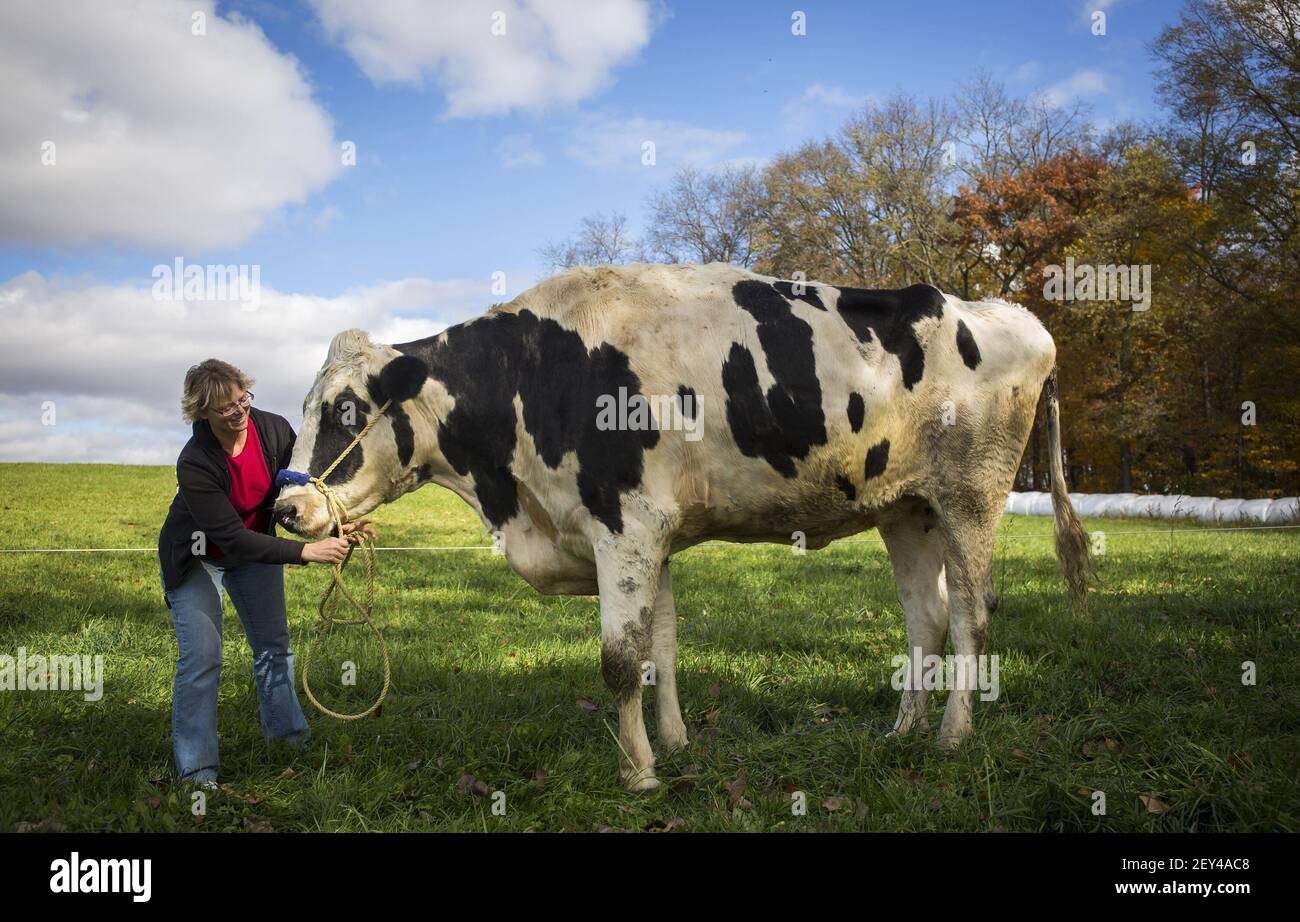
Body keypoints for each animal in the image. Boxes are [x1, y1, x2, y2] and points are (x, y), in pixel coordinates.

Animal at [273, 262, 1089, 791]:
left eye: (345, 409)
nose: (287, 510)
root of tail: (1008, 313)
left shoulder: (625, 525)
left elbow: (618, 658)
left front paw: (637, 774)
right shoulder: (650, 535)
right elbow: (659, 648)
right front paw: (673, 744)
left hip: (971, 495)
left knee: (972, 613)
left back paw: (953, 736)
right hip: (906, 508)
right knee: (926, 617)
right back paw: (904, 731)